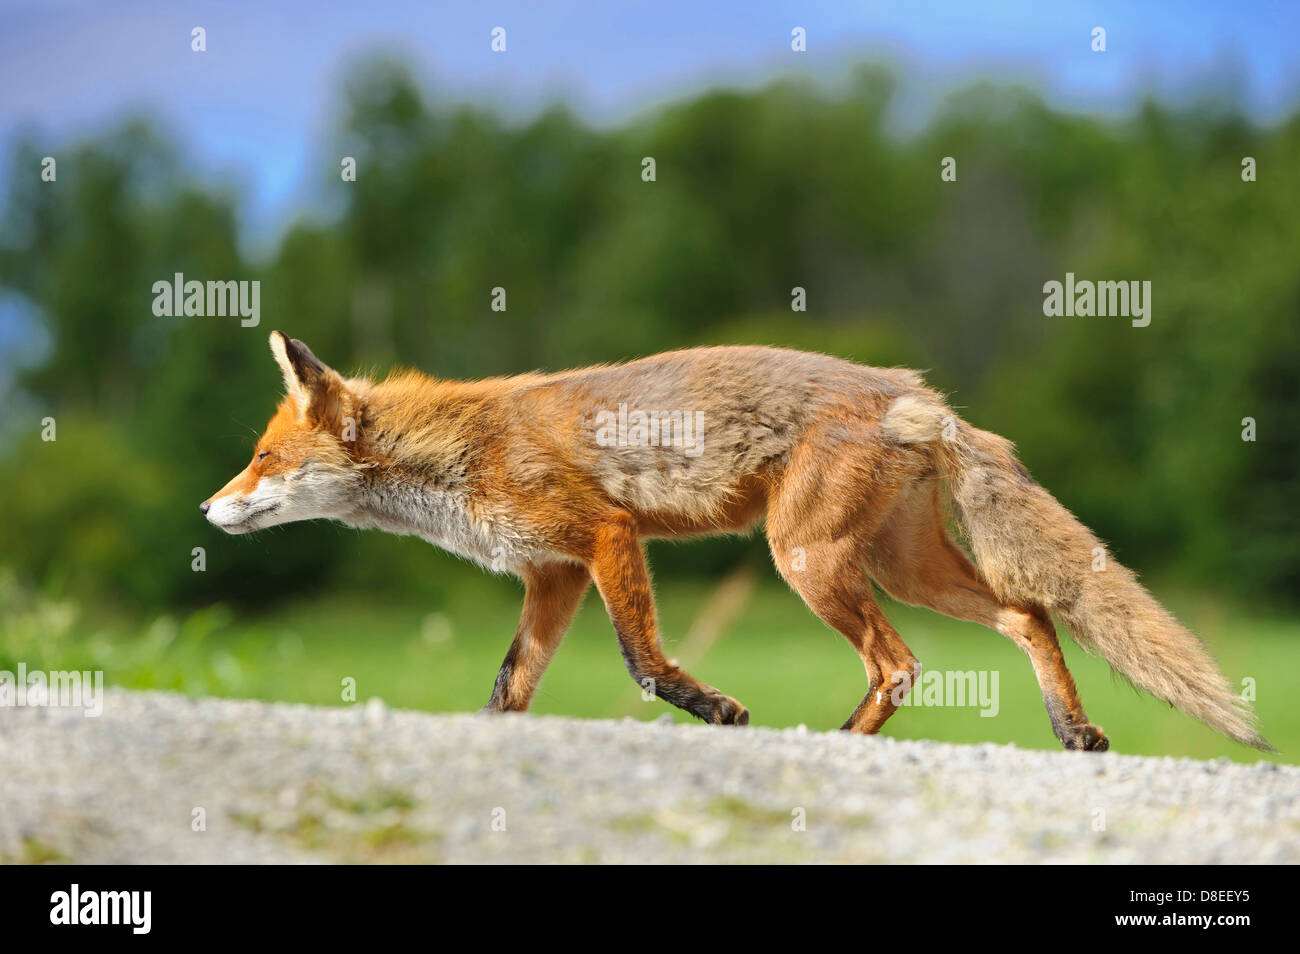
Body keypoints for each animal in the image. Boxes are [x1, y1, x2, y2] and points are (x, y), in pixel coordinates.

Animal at [202, 331, 1269, 752]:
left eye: (259, 458)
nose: (209, 511)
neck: (461, 455)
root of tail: (911, 391)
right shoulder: (551, 578)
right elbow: (508, 690)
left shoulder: (603, 535)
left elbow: (641, 661)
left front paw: (715, 711)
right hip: (901, 565)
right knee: (1026, 612)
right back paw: (1073, 730)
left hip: (809, 564)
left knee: (901, 664)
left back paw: (837, 746)